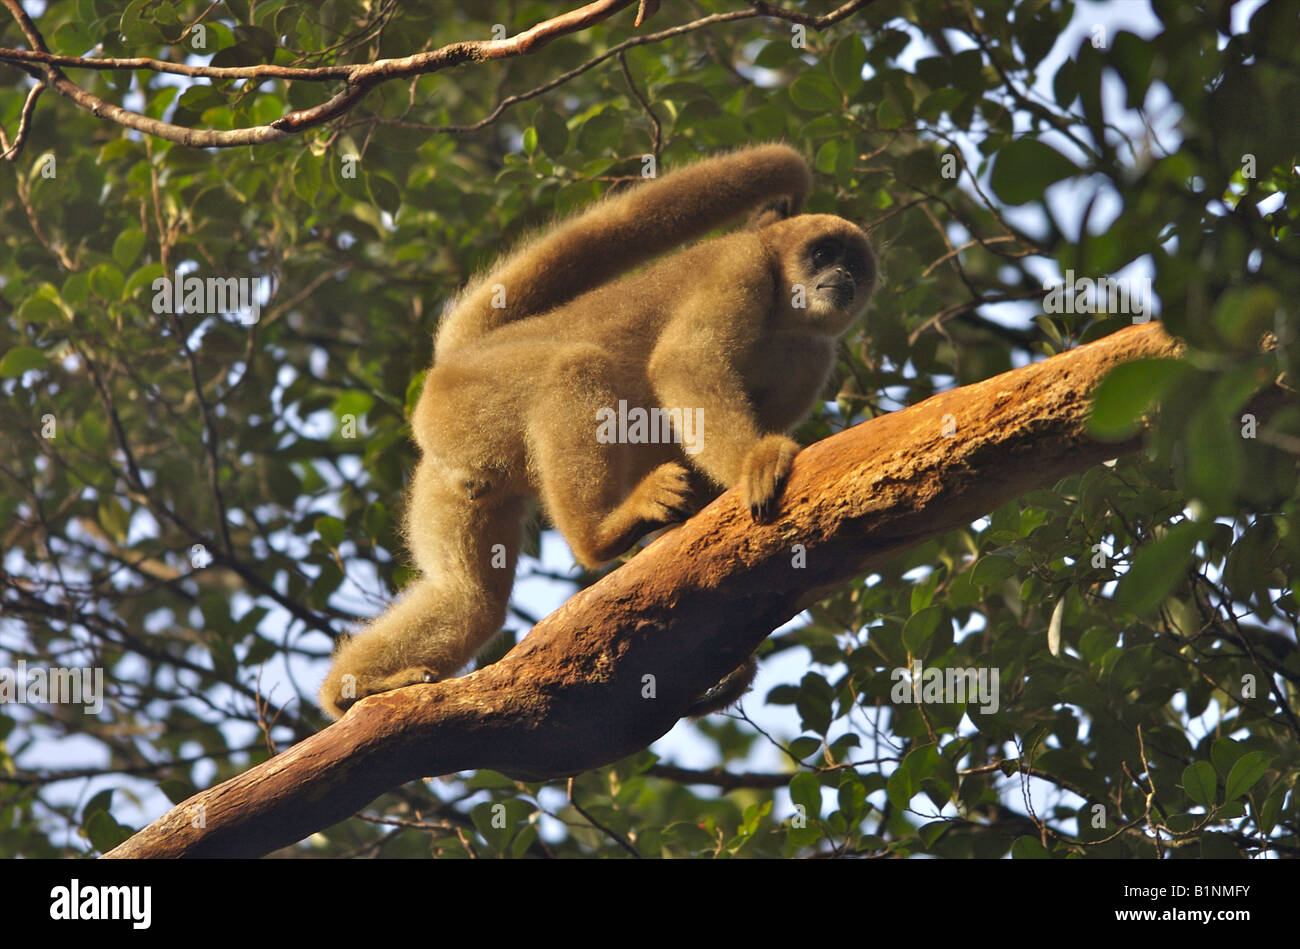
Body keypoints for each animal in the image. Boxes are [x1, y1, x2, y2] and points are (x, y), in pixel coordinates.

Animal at [319, 143, 876, 719]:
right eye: (823, 254)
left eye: (854, 263)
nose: (843, 275)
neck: (787, 317)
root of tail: (461, 356)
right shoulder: (741, 267)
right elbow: (684, 363)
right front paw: (755, 463)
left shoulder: (816, 354)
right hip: (467, 403)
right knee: (575, 368)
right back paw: (599, 534)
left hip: (452, 468)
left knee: (469, 601)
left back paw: (355, 688)